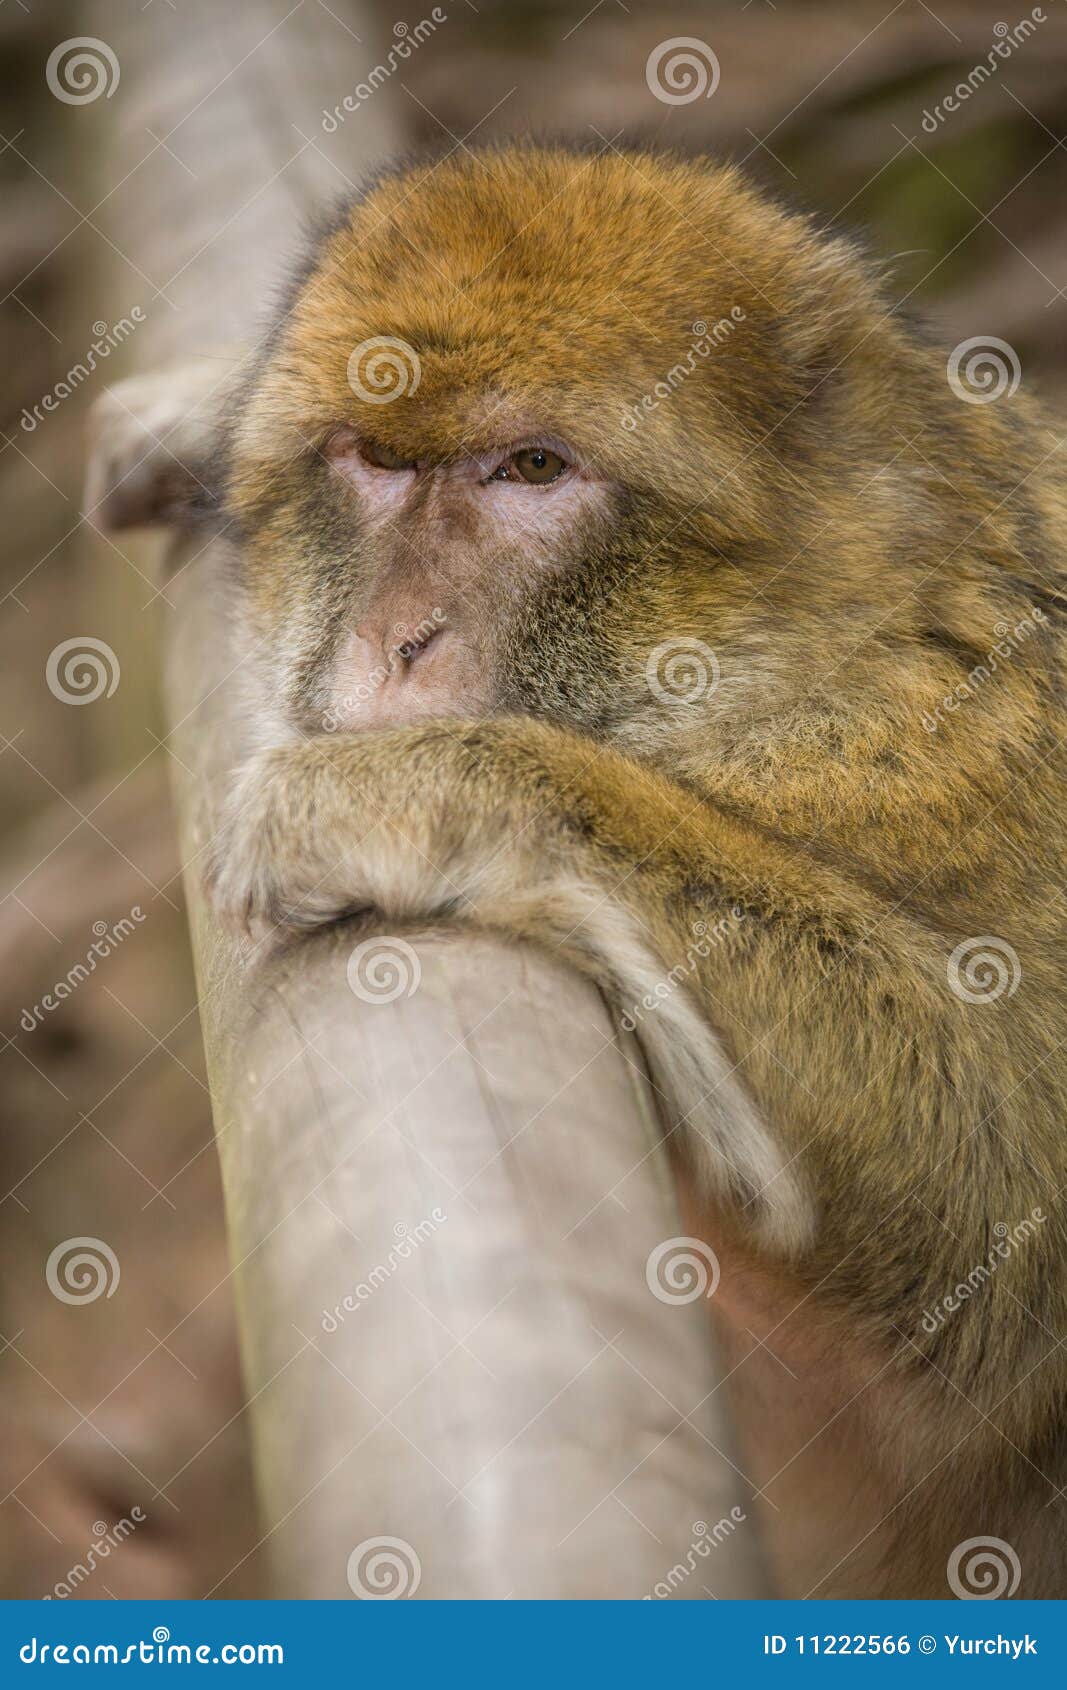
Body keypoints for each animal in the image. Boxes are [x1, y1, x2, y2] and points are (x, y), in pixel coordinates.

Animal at [94, 143, 1066, 1599]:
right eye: (371, 457)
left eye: (532, 468)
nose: (399, 637)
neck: (813, 630)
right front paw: (211, 400)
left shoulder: (937, 757)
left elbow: (996, 1232)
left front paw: (433, 788)